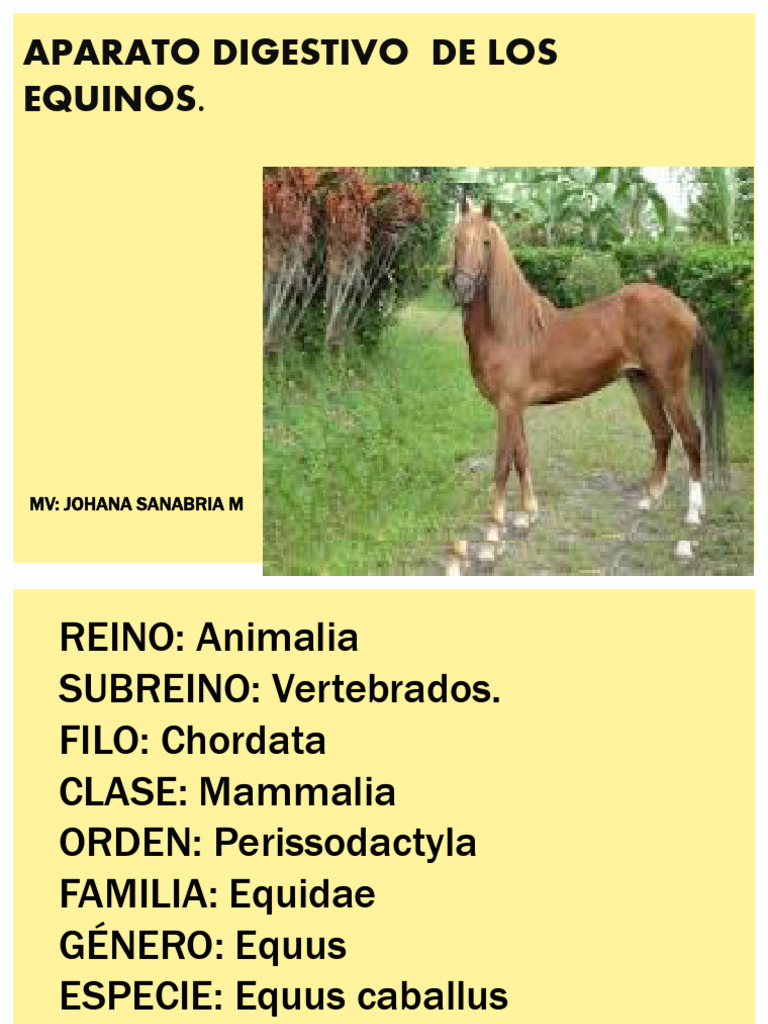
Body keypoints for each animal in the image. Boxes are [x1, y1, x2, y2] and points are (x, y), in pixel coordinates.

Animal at [448, 197, 728, 543]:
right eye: (456, 239)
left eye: (486, 243)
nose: (463, 288)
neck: (508, 329)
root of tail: (686, 310)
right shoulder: (515, 407)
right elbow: (521, 456)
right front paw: (527, 515)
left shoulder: (508, 405)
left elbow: (502, 463)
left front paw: (492, 532)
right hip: (642, 383)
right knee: (662, 434)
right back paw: (649, 499)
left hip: (671, 385)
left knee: (691, 436)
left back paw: (693, 513)